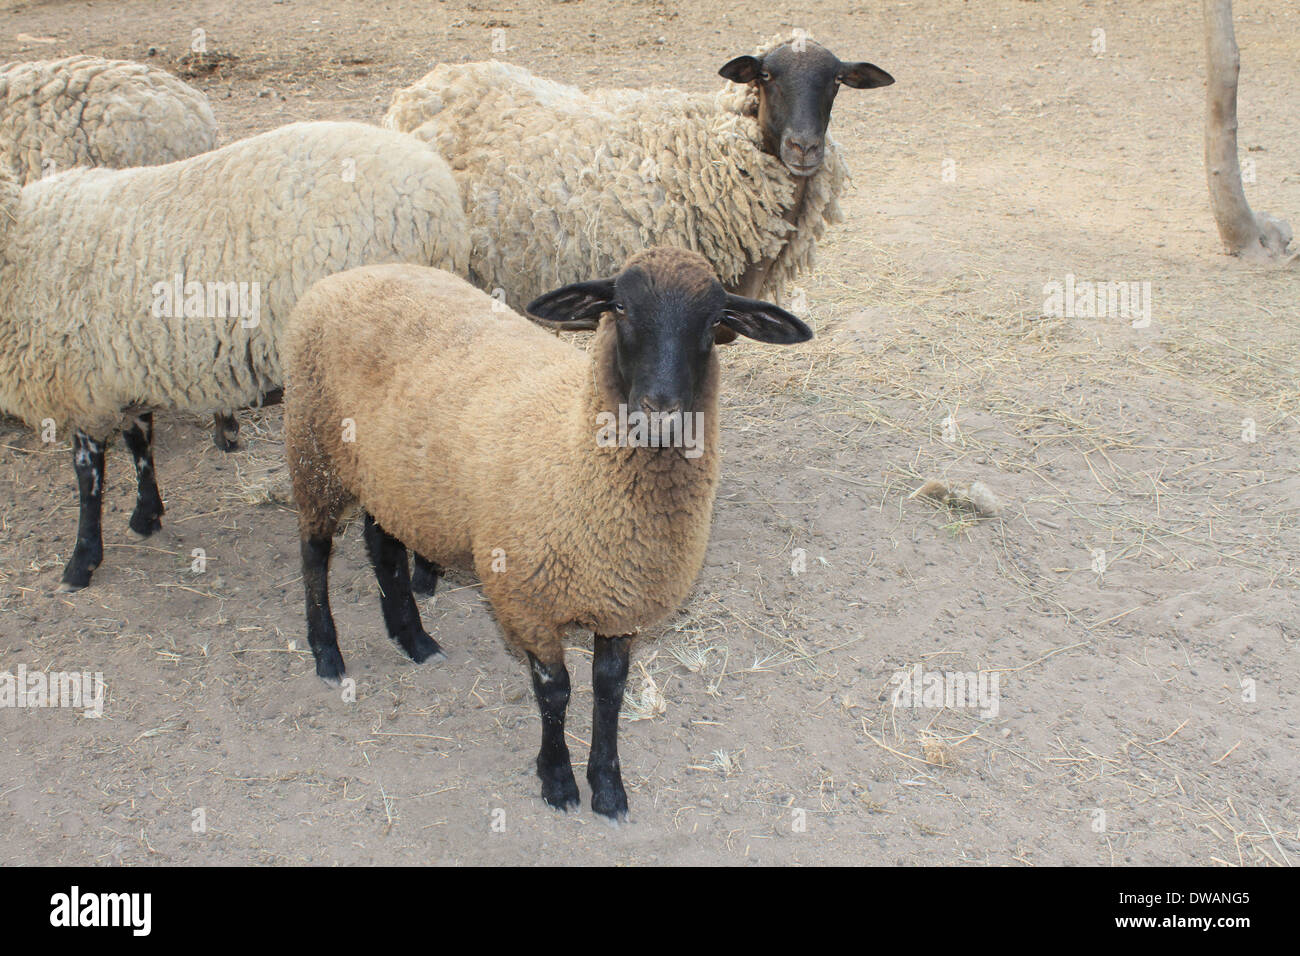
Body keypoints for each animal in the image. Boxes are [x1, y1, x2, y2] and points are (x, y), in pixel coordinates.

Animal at [0, 120, 468, 592]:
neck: (20, 242)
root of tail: (439, 193)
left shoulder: (80, 389)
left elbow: (88, 477)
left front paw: (81, 561)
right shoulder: (124, 370)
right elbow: (139, 440)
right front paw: (146, 515)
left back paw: (421, 578)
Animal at [283, 248, 812, 818]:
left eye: (716, 321)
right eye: (619, 307)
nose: (660, 409)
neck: (574, 458)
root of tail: (352, 273)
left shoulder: (622, 600)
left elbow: (609, 691)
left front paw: (608, 786)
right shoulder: (525, 601)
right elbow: (554, 689)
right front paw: (557, 779)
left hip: (390, 479)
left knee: (381, 544)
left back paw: (414, 639)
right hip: (313, 447)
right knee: (314, 552)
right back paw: (327, 653)